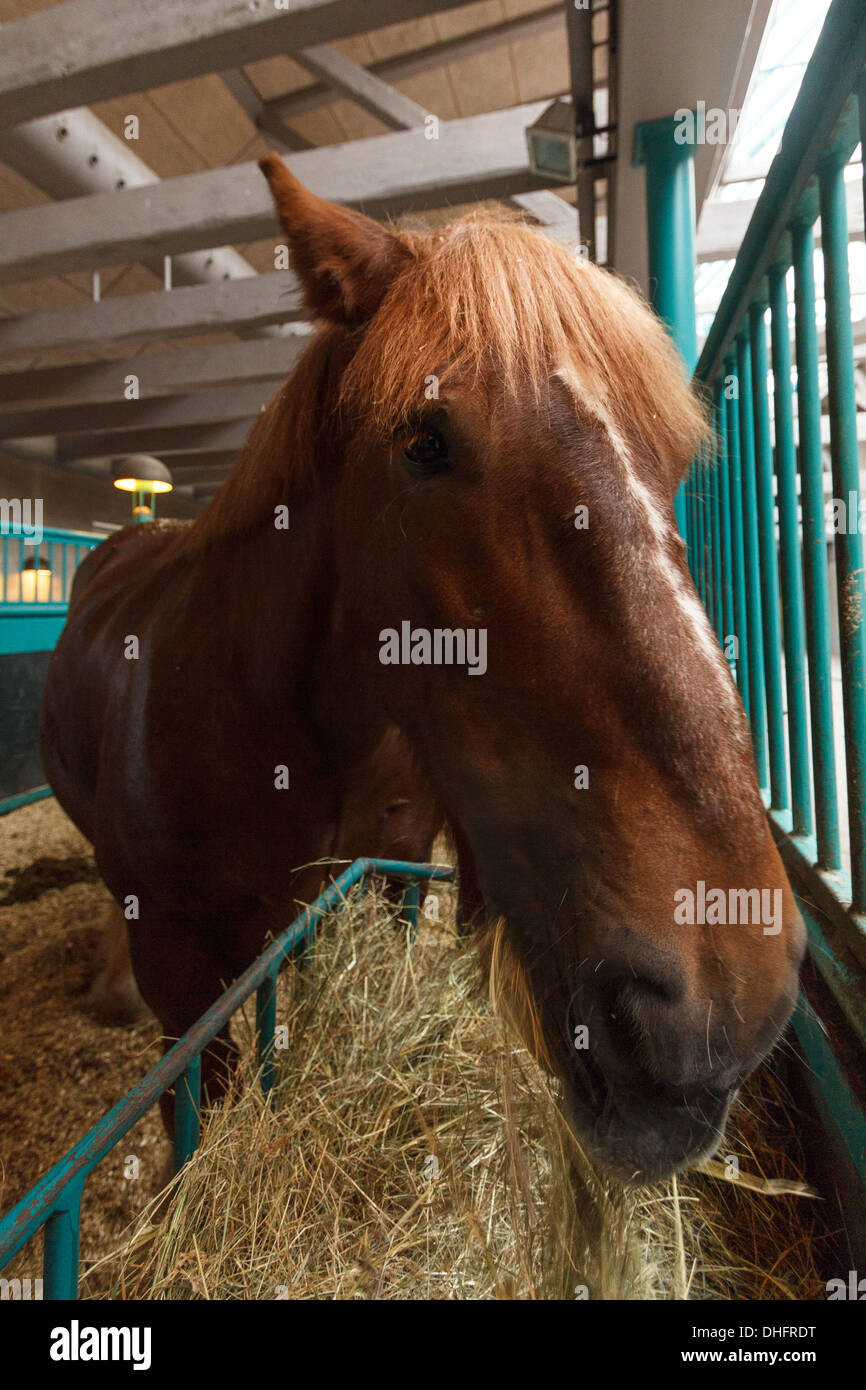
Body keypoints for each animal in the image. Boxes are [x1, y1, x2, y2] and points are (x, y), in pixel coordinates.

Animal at [40, 154, 806, 1182]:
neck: (286, 730)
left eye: (675, 459)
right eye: (424, 443)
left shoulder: (387, 871)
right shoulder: (181, 977)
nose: (729, 1001)